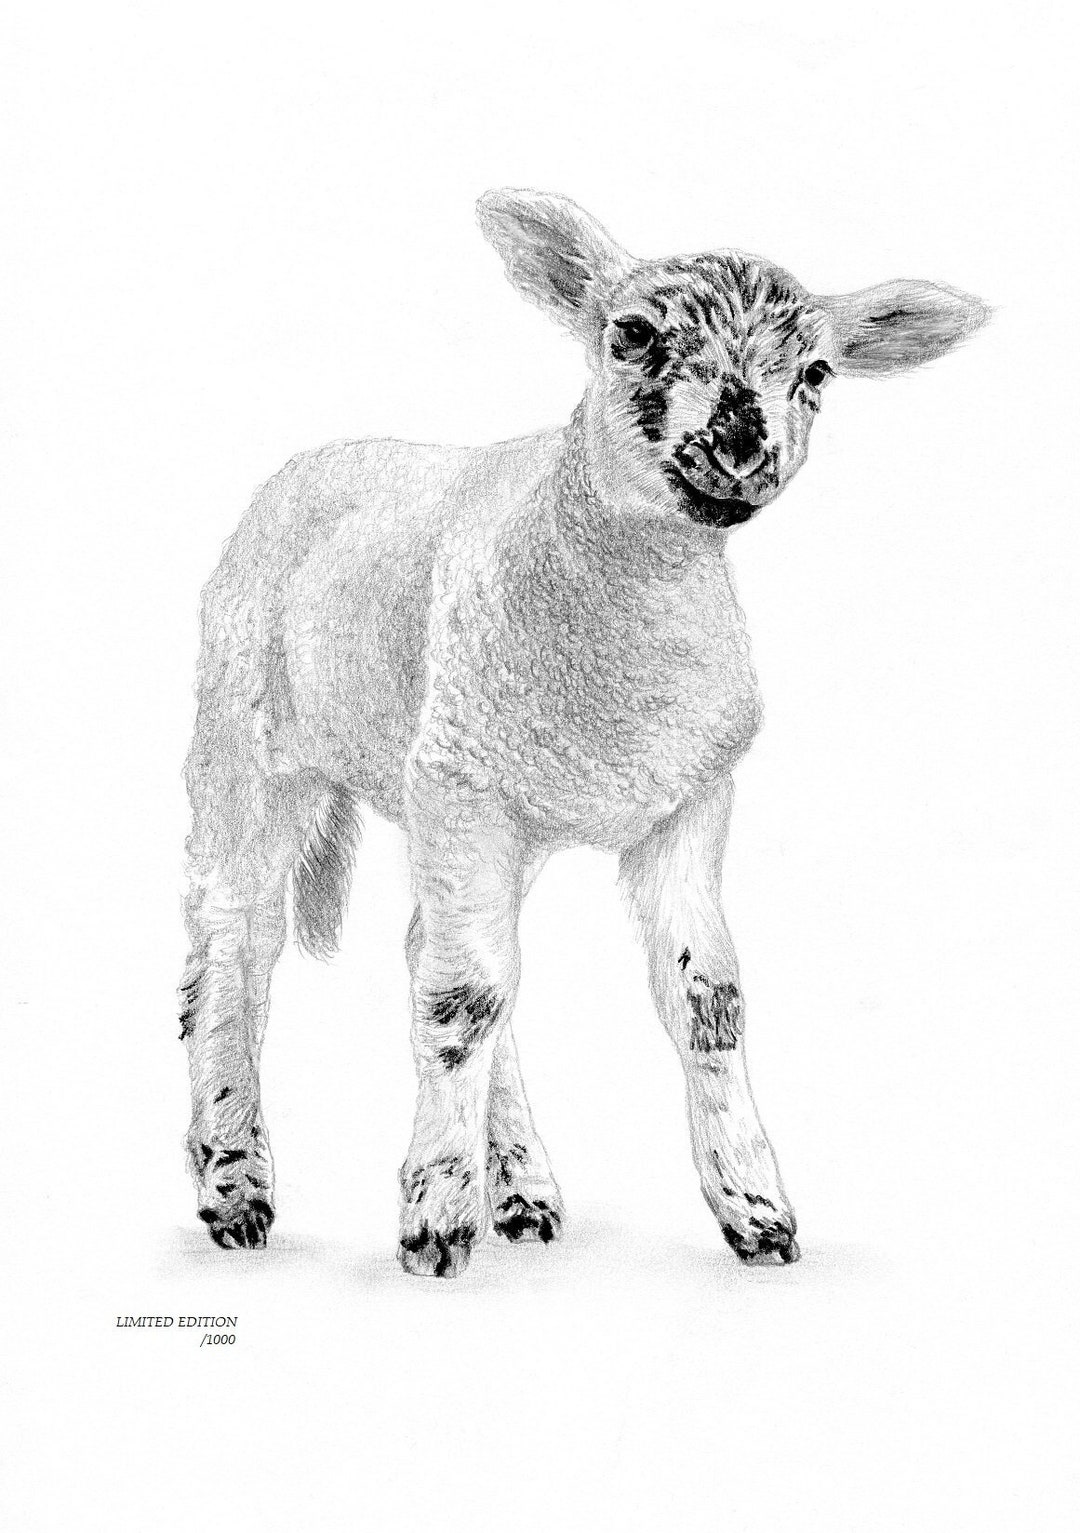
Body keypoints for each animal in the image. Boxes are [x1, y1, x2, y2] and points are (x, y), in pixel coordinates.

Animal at [179, 189, 988, 1274]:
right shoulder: (462, 784)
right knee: (233, 948)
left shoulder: (688, 802)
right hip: (251, 748)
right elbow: (461, 1002)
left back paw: (521, 1189)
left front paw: (756, 1212)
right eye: (632, 334)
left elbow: (706, 1003)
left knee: (427, 949)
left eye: (817, 373)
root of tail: (316, 462)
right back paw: (236, 1186)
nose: (741, 443)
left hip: (480, 815)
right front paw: (432, 1222)